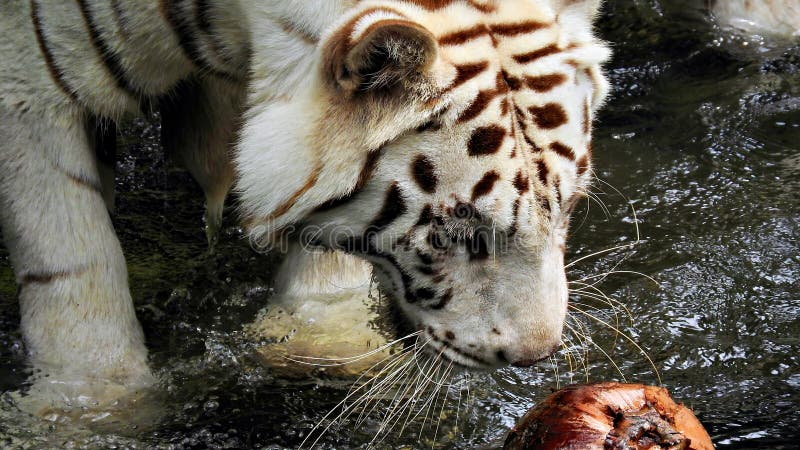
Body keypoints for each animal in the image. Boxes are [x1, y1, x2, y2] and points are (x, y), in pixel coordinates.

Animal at [0, 0, 610, 411]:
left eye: (568, 208)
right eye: (457, 233)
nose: (536, 356)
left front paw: (324, 341)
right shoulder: (30, 88)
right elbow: (73, 263)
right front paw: (88, 403)